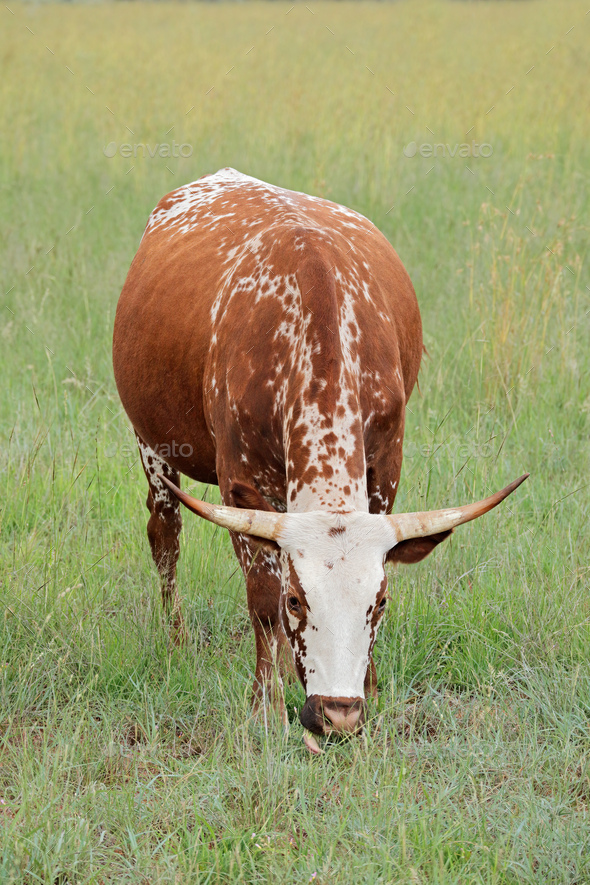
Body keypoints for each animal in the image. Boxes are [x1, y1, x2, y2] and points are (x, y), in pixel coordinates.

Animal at [113, 167, 527, 747]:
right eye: (297, 600)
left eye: (379, 603)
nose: (338, 715)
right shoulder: (240, 478)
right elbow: (260, 594)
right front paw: (266, 707)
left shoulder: (385, 468)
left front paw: (368, 687)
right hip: (152, 444)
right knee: (164, 535)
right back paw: (177, 642)